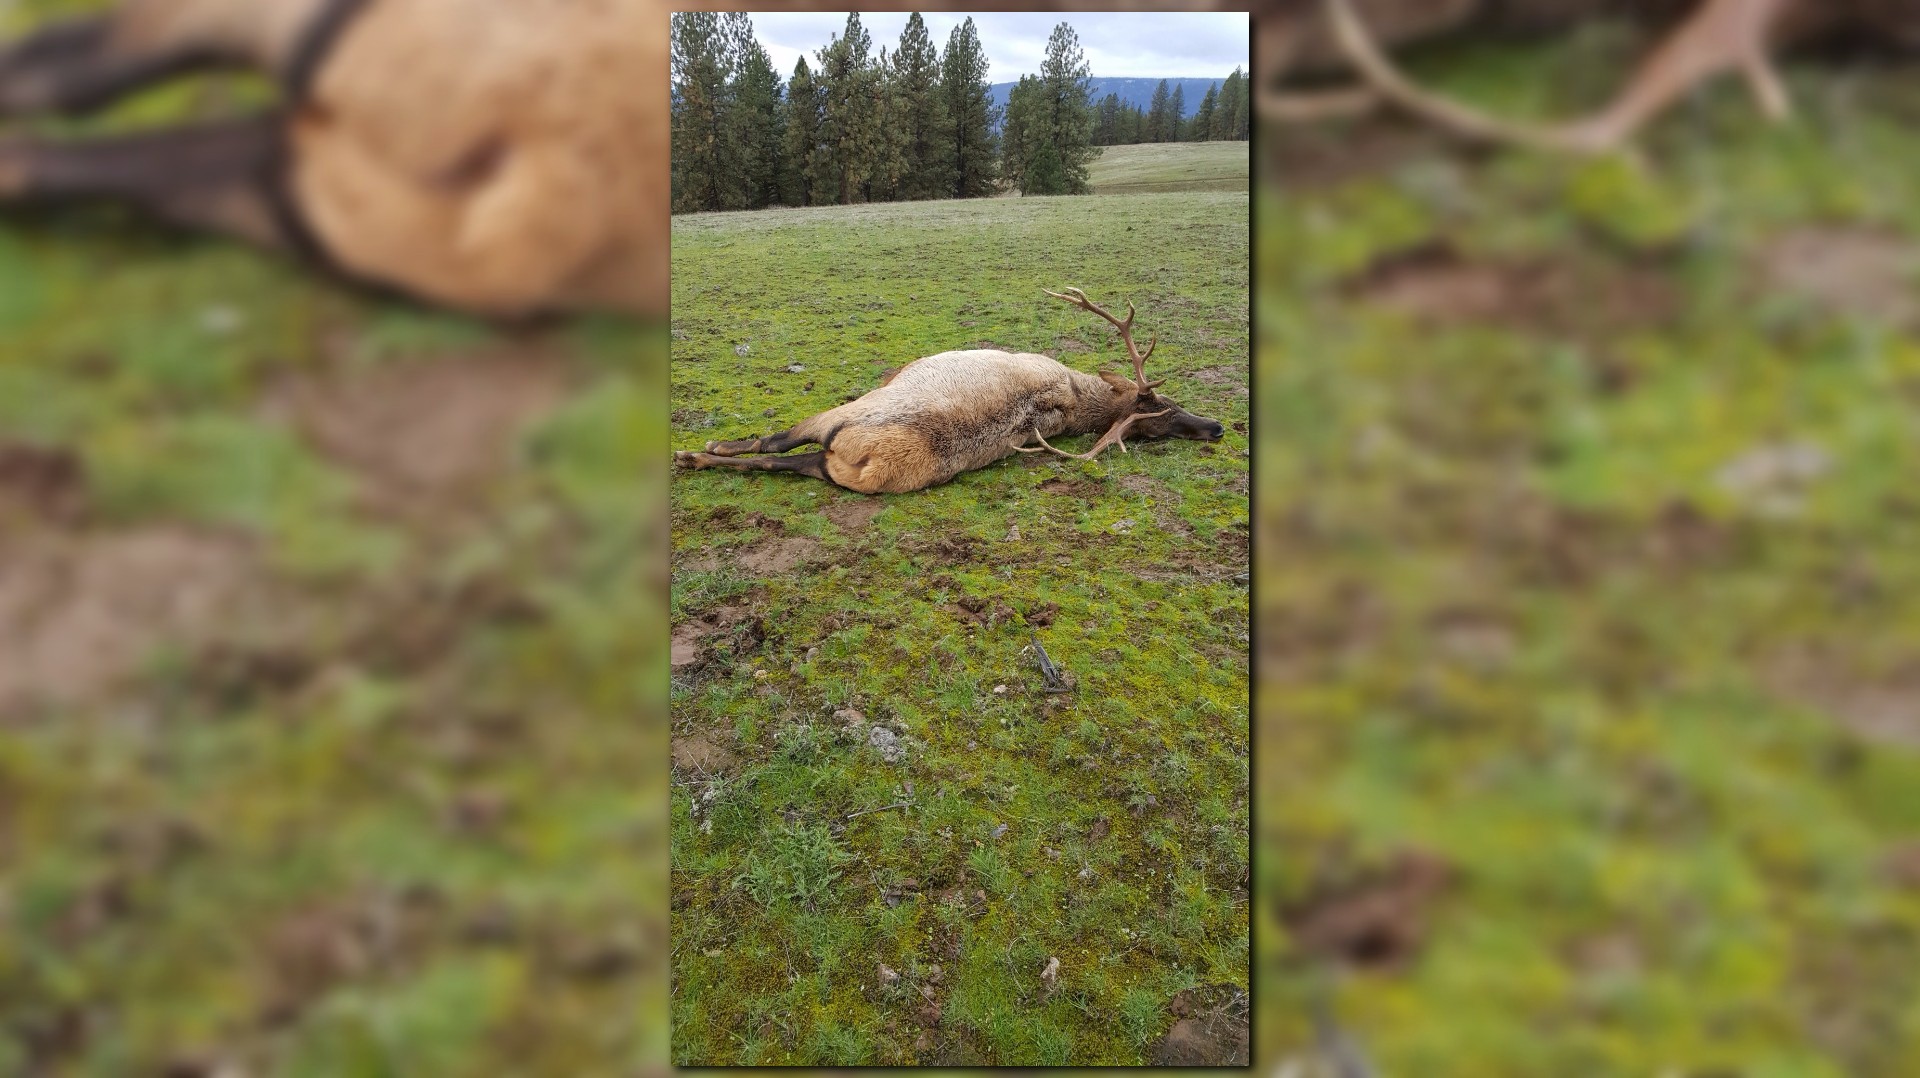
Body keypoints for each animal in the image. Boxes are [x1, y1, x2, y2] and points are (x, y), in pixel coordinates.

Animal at [673, 289, 1227, 495]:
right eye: (1162, 408)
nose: (1217, 426)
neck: (1075, 389)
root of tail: (871, 459)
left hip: (839, 423)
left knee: (774, 447)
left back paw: (697, 453)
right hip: (837, 459)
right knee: (779, 456)